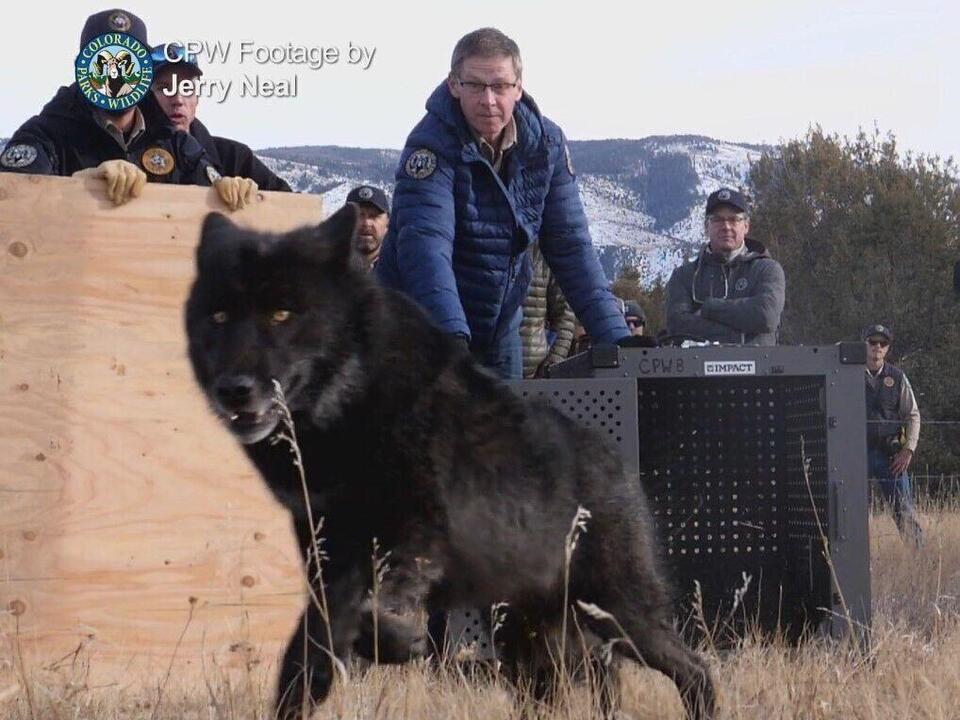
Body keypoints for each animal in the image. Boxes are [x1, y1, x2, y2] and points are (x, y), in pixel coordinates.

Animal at [184, 205, 716, 720]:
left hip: (615, 614)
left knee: (693, 667)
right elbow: (307, 659)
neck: (354, 409)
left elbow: (371, 616)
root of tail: (619, 466)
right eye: (219, 316)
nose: (233, 389)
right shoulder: (329, 564)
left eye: (280, 314)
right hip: (532, 631)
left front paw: (403, 641)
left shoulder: (413, 544)